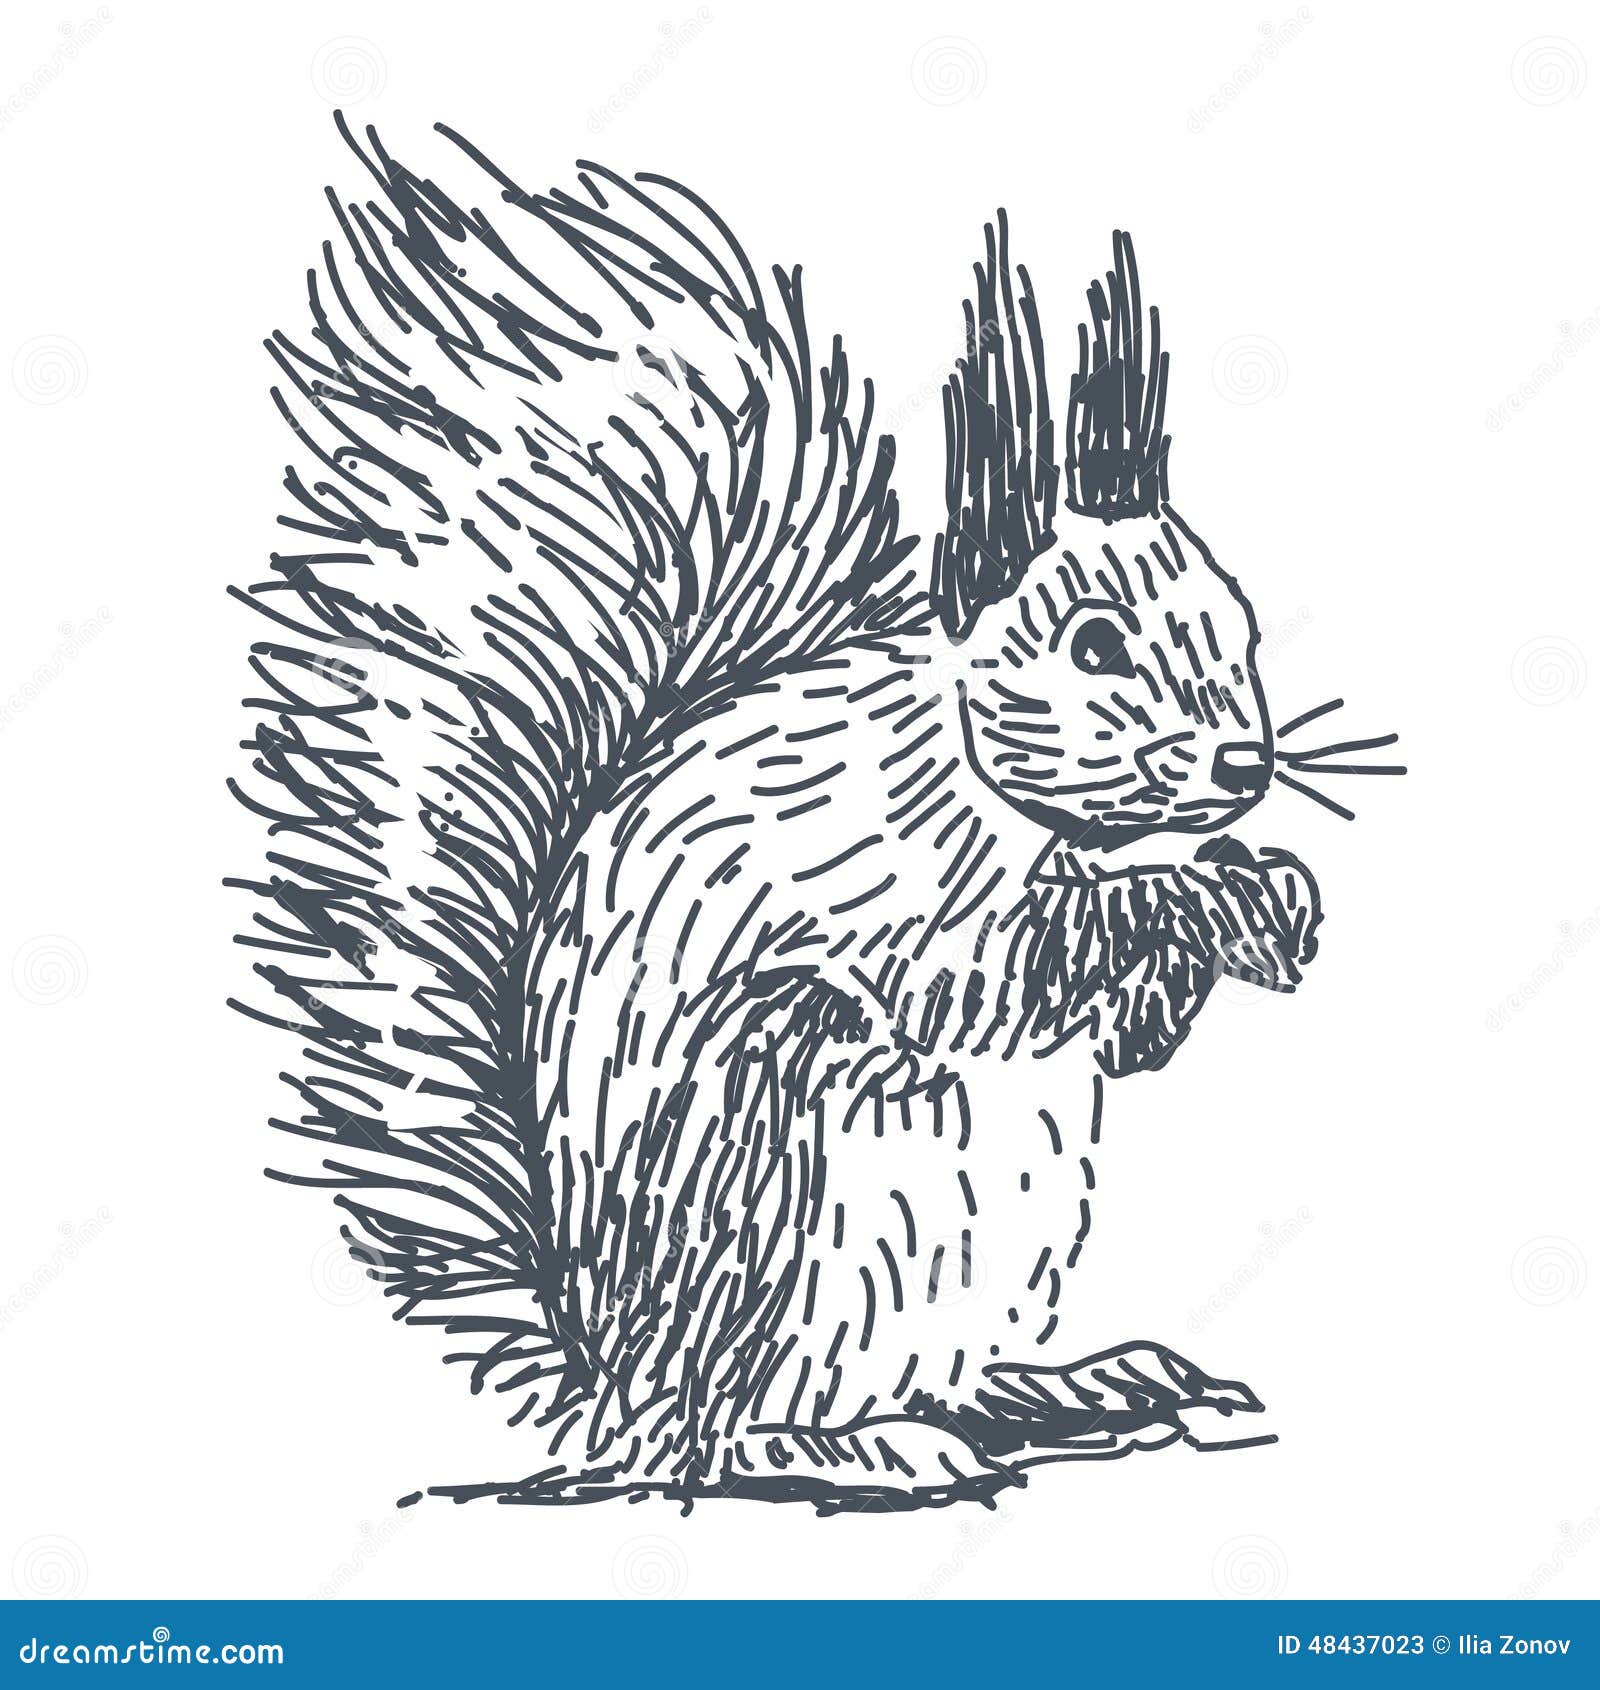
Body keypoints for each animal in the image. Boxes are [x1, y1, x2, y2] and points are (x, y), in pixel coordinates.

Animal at [232, 119, 1388, 1511]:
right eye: (1096, 646)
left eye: (1240, 625)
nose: (1240, 764)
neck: (997, 788)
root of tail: (617, 1383)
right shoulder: (903, 882)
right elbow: (992, 982)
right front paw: (1196, 890)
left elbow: (1124, 1041)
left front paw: (1272, 891)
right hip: (778, 1154)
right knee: (726, 1431)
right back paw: (857, 1445)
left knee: (938, 1376)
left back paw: (1070, 1387)